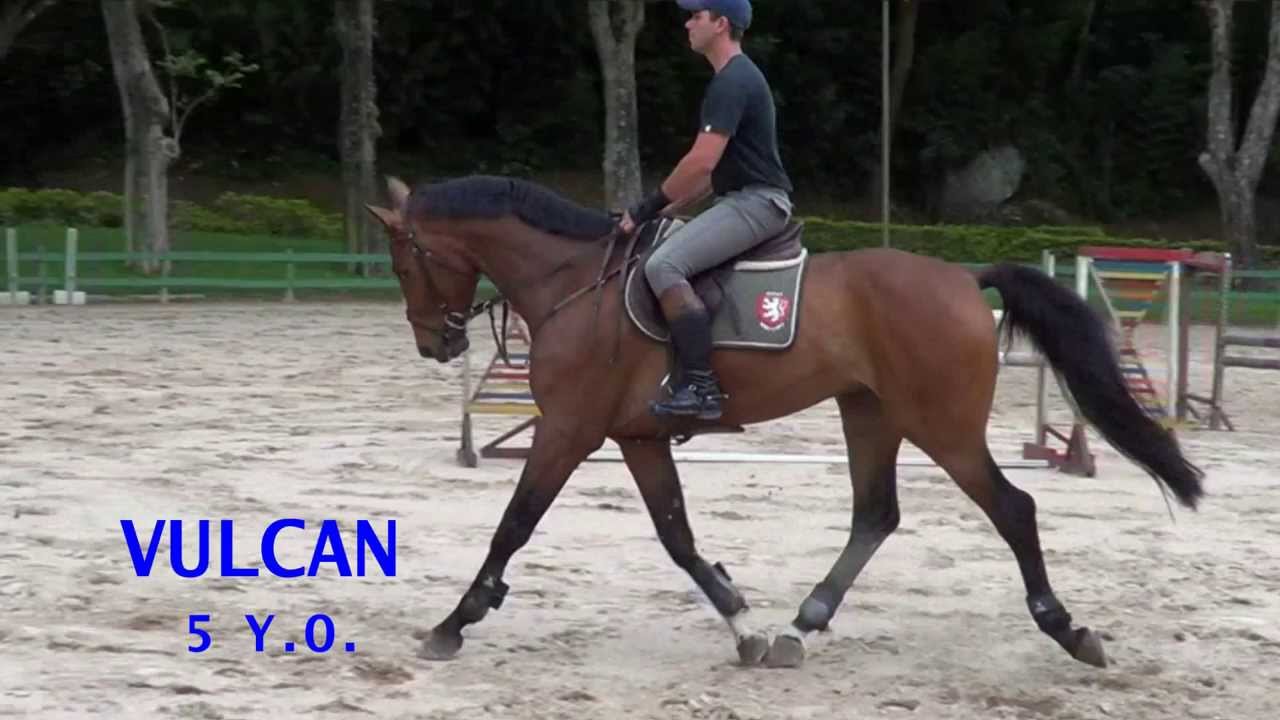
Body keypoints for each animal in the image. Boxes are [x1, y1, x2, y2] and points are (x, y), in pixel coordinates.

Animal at [364, 173, 1205, 670]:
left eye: (405, 262)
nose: (436, 343)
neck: (575, 283)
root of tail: (965, 278)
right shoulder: (635, 437)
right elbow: (677, 536)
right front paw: (744, 625)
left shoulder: (568, 431)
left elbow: (513, 525)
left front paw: (454, 622)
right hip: (870, 415)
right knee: (876, 514)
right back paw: (803, 625)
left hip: (942, 426)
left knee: (1013, 508)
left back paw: (1068, 629)